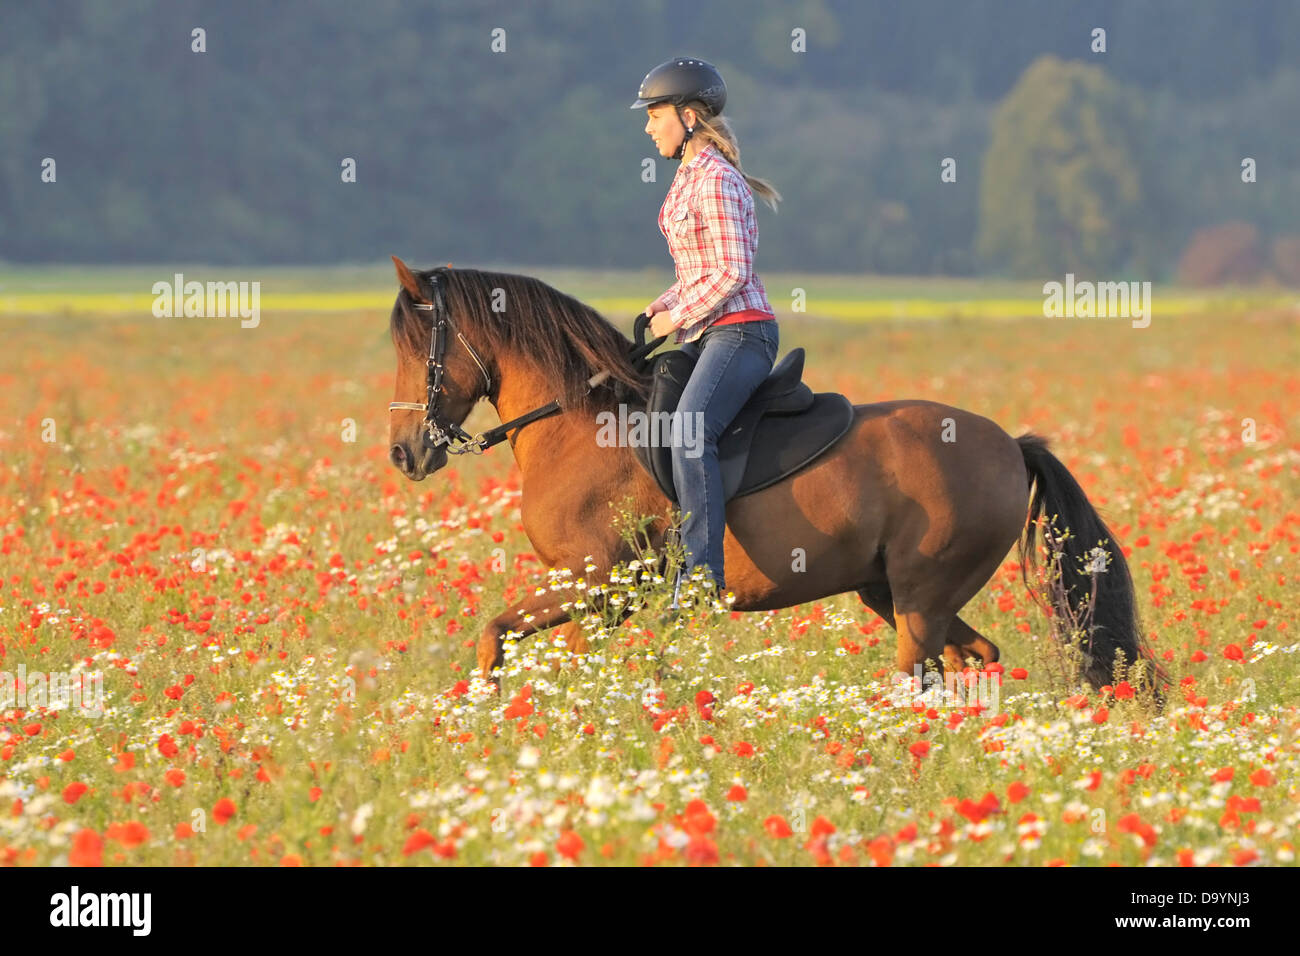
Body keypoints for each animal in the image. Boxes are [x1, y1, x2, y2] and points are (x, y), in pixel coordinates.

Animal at [385, 257, 1165, 701]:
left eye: (418, 346)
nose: (403, 453)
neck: (577, 423)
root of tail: (1010, 443)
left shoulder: (596, 588)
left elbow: (508, 641)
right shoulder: (597, 597)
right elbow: (508, 641)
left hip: (920, 597)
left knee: (921, 678)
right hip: (891, 592)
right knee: (974, 658)